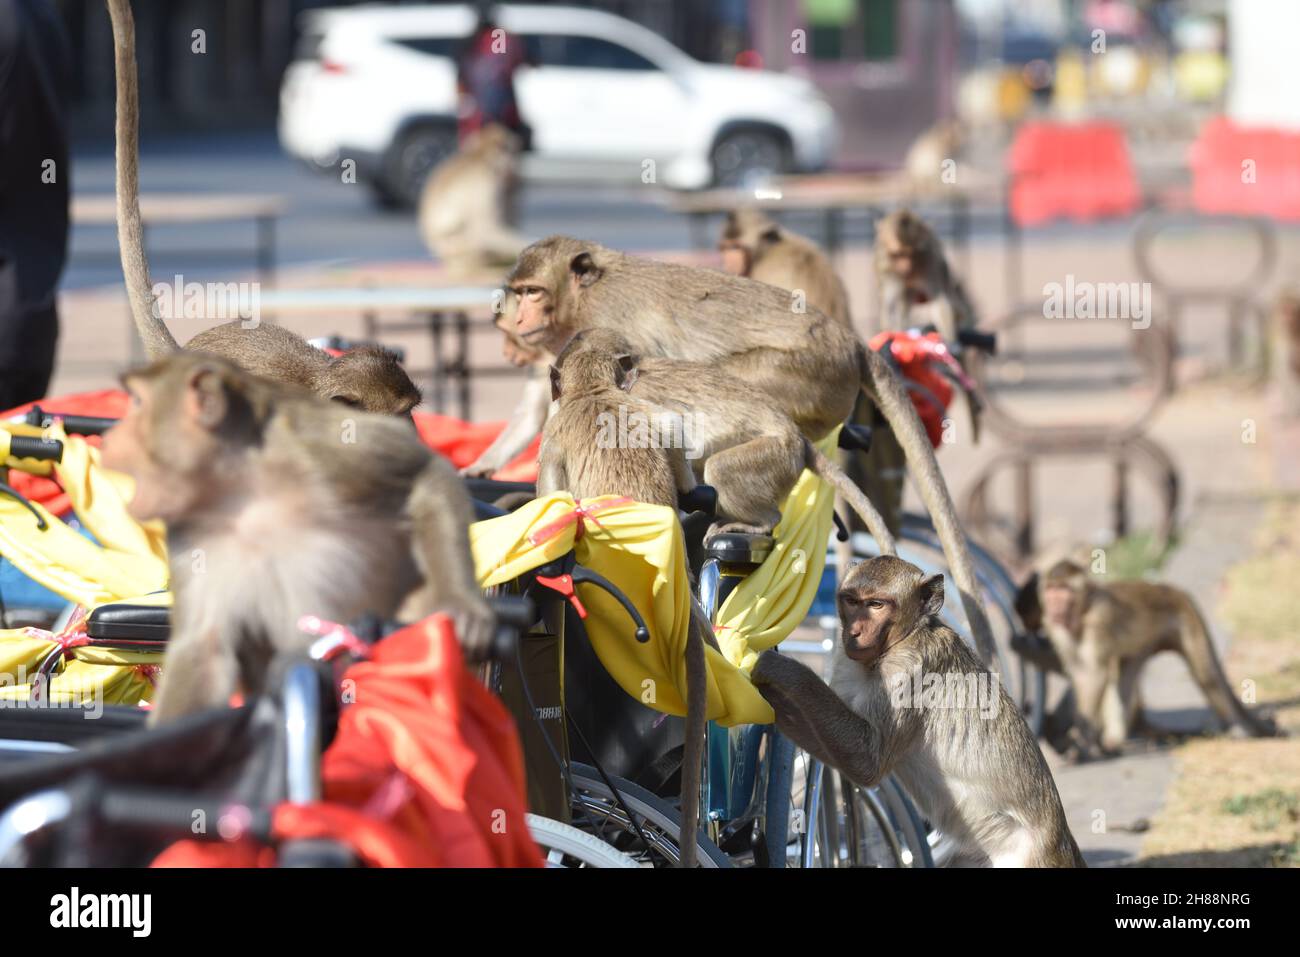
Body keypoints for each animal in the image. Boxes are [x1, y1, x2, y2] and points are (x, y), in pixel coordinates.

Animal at [501, 236, 996, 665]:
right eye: (519, 293)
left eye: (532, 292)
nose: (516, 323)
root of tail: (853, 342)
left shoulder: (612, 329)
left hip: (808, 384)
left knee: (727, 461)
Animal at [752, 556, 1085, 867]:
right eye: (851, 600)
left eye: (876, 604)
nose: (854, 631)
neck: (902, 638)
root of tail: (1062, 838)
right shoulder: (847, 662)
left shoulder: (910, 669)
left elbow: (865, 759)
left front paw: (779, 668)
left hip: (1035, 858)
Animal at [1036, 560, 1277, 761]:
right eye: (1051, 591)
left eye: (1064, 591)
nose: (1055, 604)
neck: (1083, 608)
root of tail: (1173, 589)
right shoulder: (1055, 626)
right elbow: (1080, 673)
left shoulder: (1099, 620)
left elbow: (1093, 675)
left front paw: (1084, 741)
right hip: (1144, 645)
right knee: (1125, 675)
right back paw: (1114, 739)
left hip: (1186, 618)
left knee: (1207, 677)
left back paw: (1241, 729)